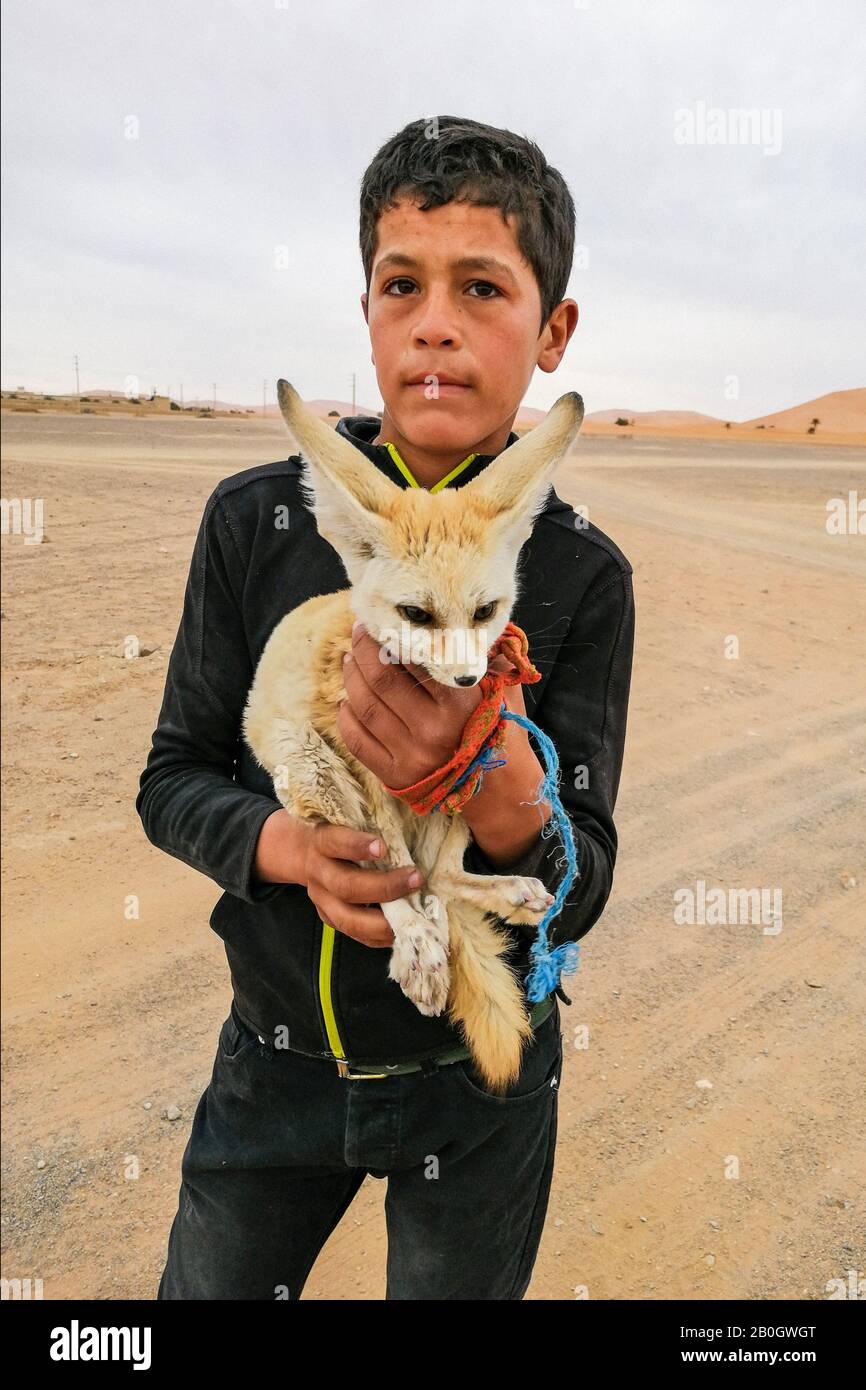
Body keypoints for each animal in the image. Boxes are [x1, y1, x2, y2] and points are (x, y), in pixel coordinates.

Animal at [242, 378, 585, 1092]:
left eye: (485, 612)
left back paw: (507, 894)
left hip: (458, 791)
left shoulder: (462, 758)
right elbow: (392, 870)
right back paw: (421, 941)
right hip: (311, 767)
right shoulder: (358, 764)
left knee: (438, 876)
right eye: (416, 614)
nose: (467, 679)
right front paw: (417, 942)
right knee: (409, 876)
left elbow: (421, 875)